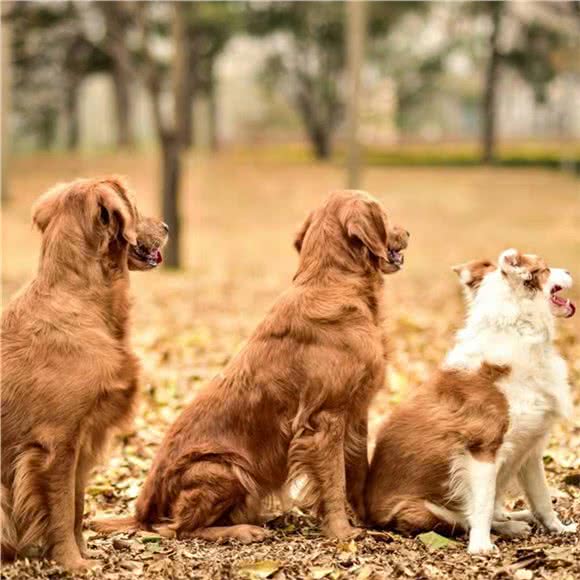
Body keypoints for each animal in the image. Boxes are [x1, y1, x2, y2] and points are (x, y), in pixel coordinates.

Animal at [1, 176, 168, 568]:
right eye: (134, 205)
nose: (168, 227)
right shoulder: (57, 443)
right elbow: (61, 509)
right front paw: (71, 562)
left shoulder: (84, 440)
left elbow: (77, 506)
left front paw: (83, 553)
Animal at [95, 190, 410, 544]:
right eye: (385, 214)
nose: (408, 233)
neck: (333, 282)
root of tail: (142, 510)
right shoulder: (325, 419)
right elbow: (334, 482)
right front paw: (342, 533)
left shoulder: (355, 413)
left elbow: (358, 472)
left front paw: (372, 522)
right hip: (225, 469)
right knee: (178, 529)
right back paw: (243, 530)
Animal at [368, 248, 576, 552]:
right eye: (545, 269)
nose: (571, 271)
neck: (517, 328)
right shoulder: (482, 450)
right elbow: (482, 507)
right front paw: (481, 547)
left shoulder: (530, 446)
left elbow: (542, 498)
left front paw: (559, 528)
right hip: (422, 510)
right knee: (464, 519)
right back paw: (510, 527)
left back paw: (517, 516)